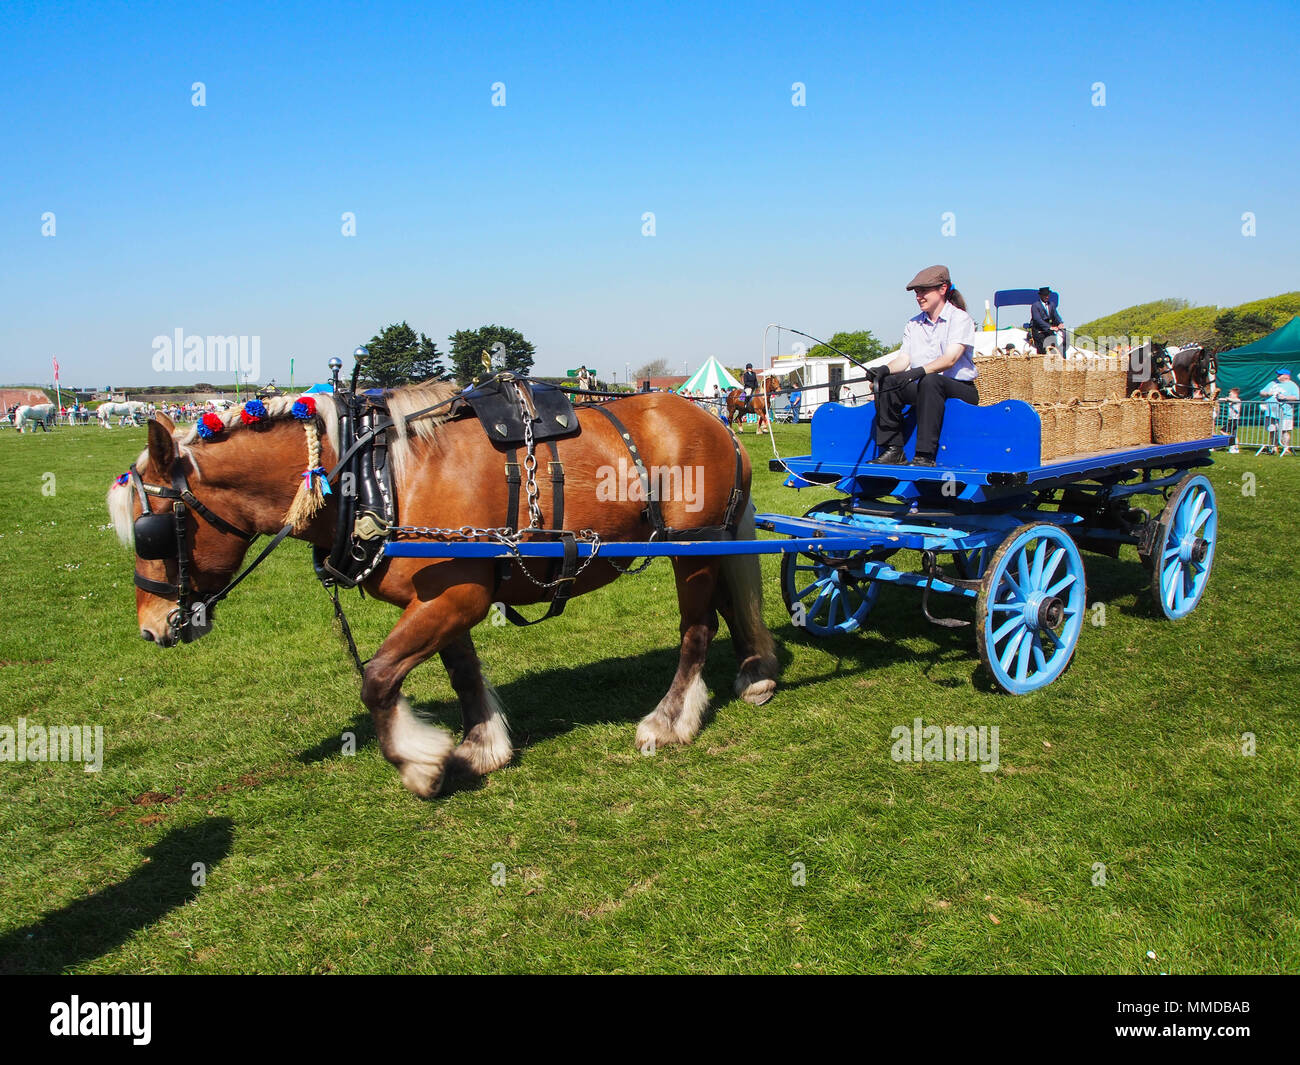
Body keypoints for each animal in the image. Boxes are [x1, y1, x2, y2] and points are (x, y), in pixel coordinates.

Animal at [106, 384, 781, 798]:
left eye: (151, 531)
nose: (152, 628)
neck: (374, 475)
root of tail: (717, 422)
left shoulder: (456, 598)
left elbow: (378, 677)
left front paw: (417, 761)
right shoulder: (441, 598)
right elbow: (460, 672)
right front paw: (483, 746)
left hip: (691, 550)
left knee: (697, 629)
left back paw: (669, 721)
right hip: (712, 545)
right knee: (730, 605)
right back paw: (758, 672)